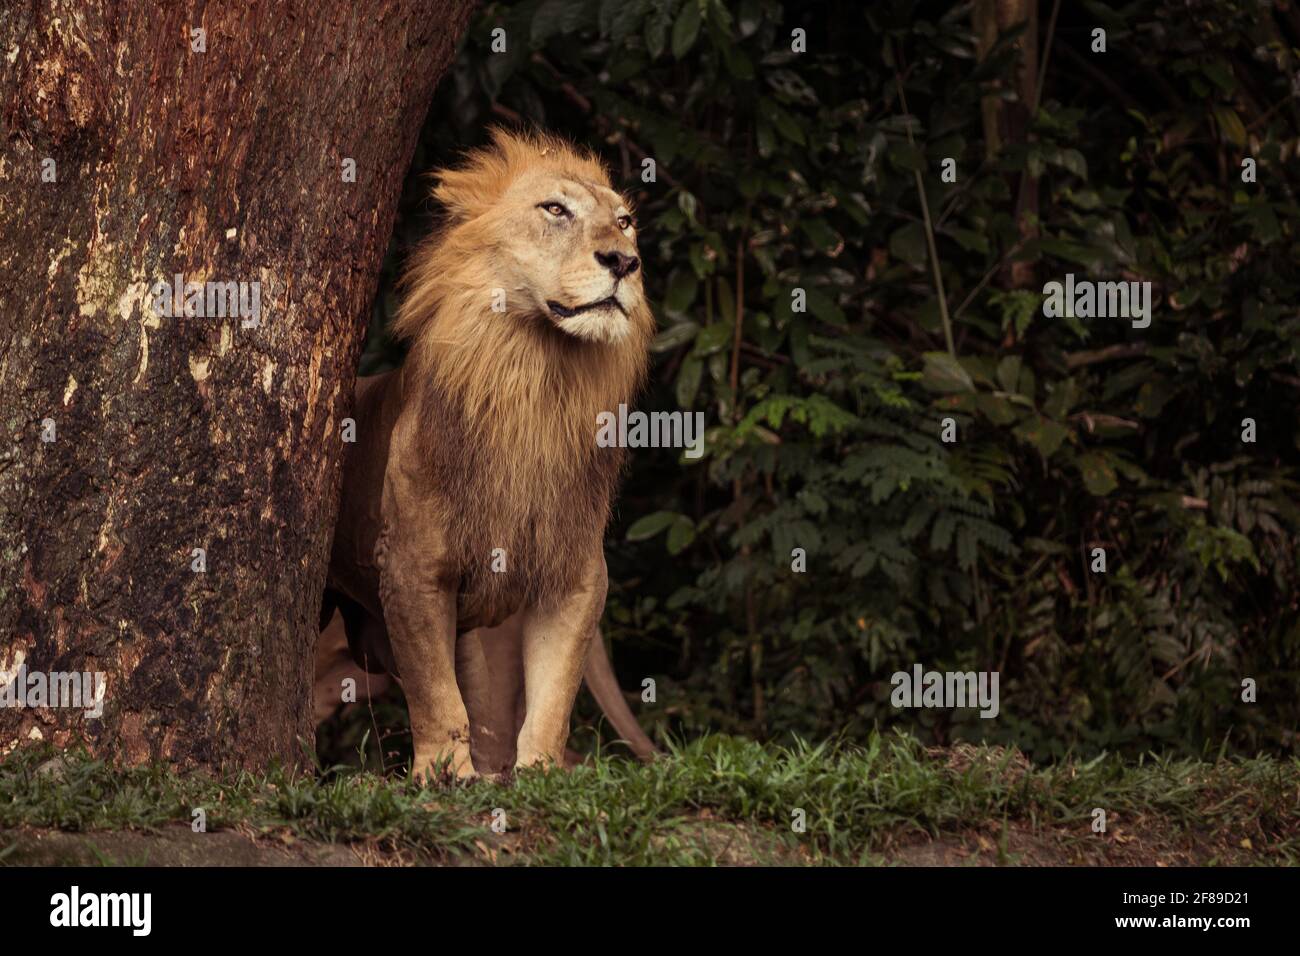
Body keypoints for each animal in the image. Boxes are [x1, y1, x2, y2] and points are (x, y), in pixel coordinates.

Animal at [319, 128, 656, 779]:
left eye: (625, 222)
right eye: (555, 210)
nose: (624, 262)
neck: (536, 382)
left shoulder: (575, 574)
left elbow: (554, 694)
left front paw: (539, 775)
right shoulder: (414, 566)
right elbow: (434, 691)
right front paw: (443, 774)